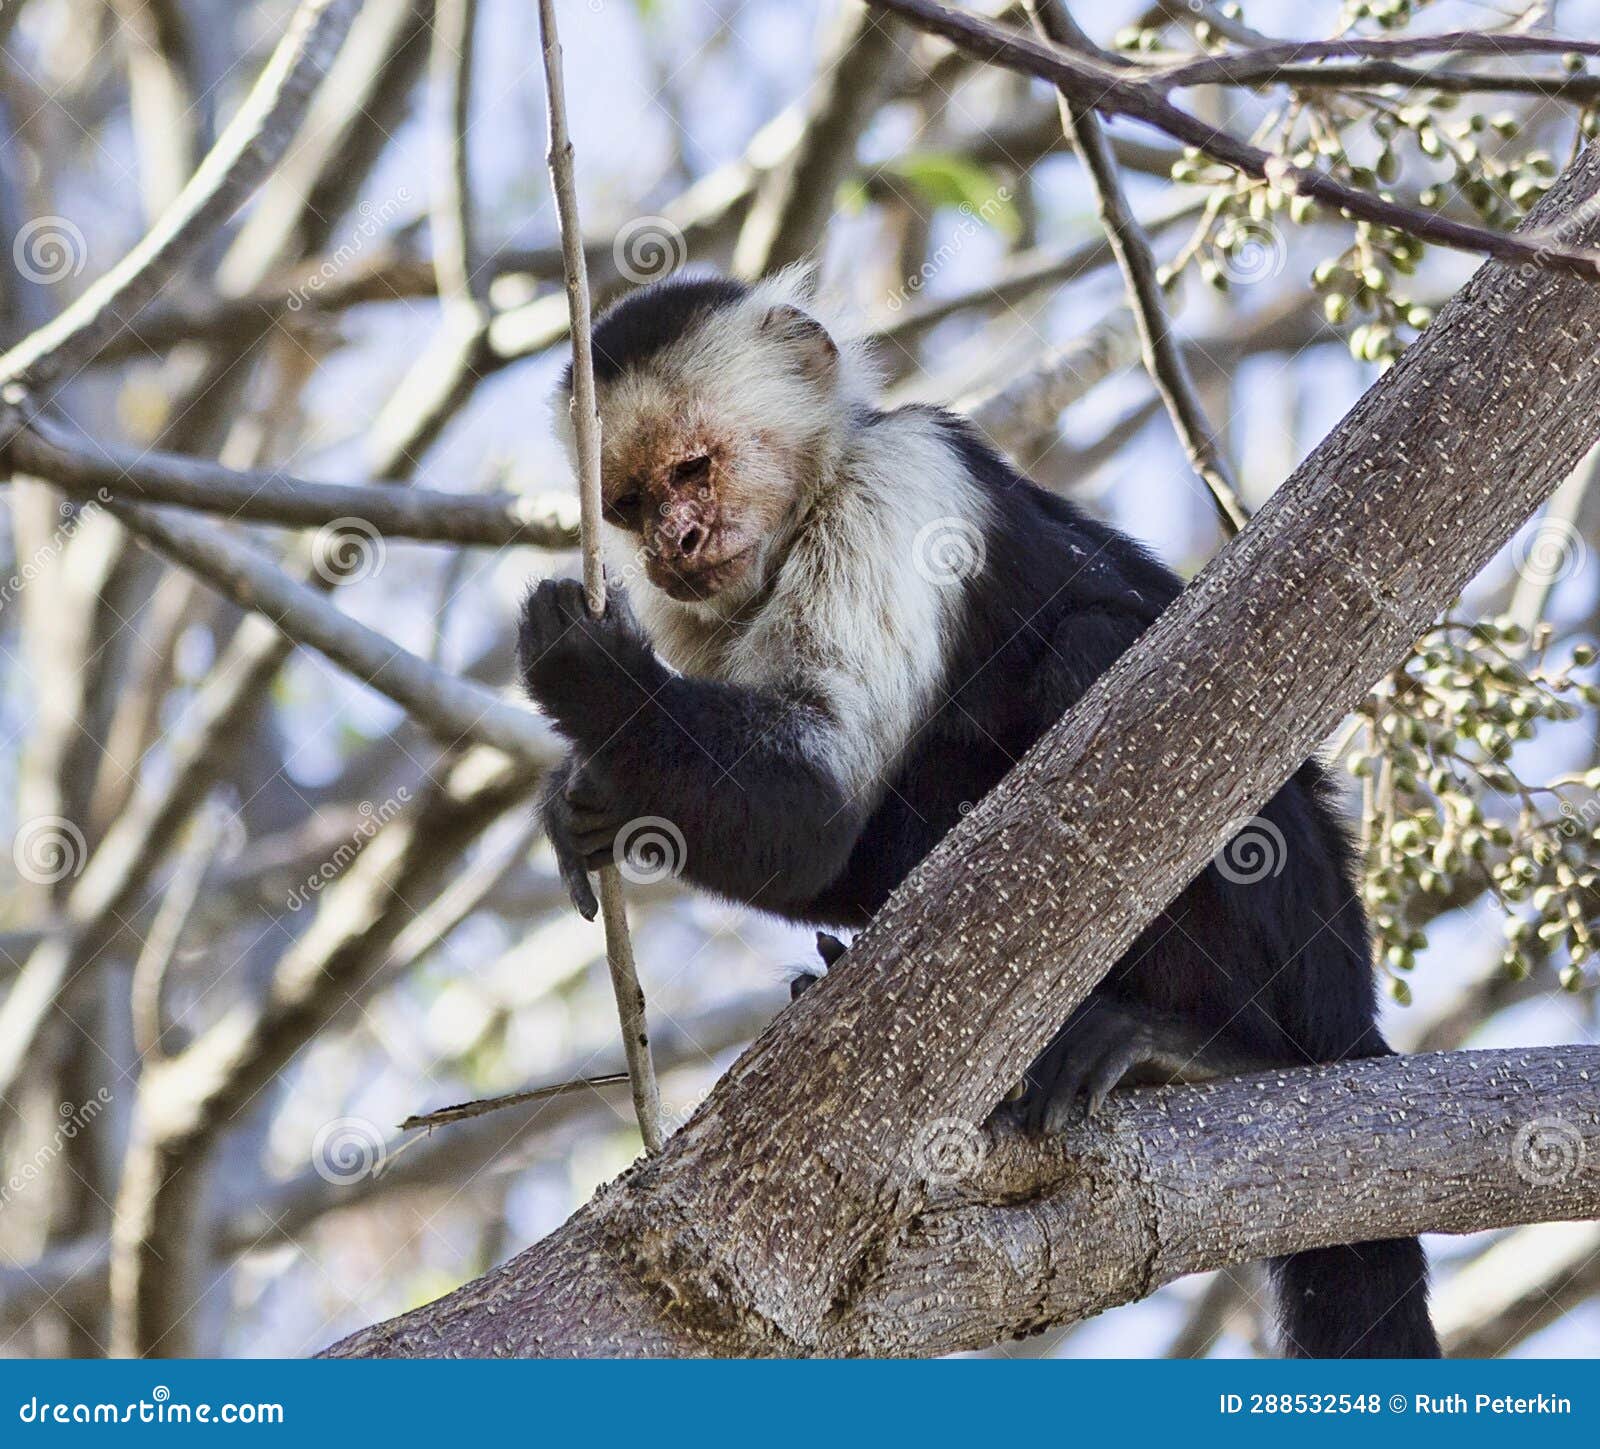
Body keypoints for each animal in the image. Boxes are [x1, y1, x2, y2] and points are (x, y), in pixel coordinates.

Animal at [517, 269, 1440, 1359]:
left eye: (693, 469)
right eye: (628, 503)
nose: (676, 543)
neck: (808, 505)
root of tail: (1357, 1015)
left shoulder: (900, 488)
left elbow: (816, 806)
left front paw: (587, 671)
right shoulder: (697, 615)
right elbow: (832, 839)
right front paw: (591, 799)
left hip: (1308, 954)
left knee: (1096, 653)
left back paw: (1199, 1051)